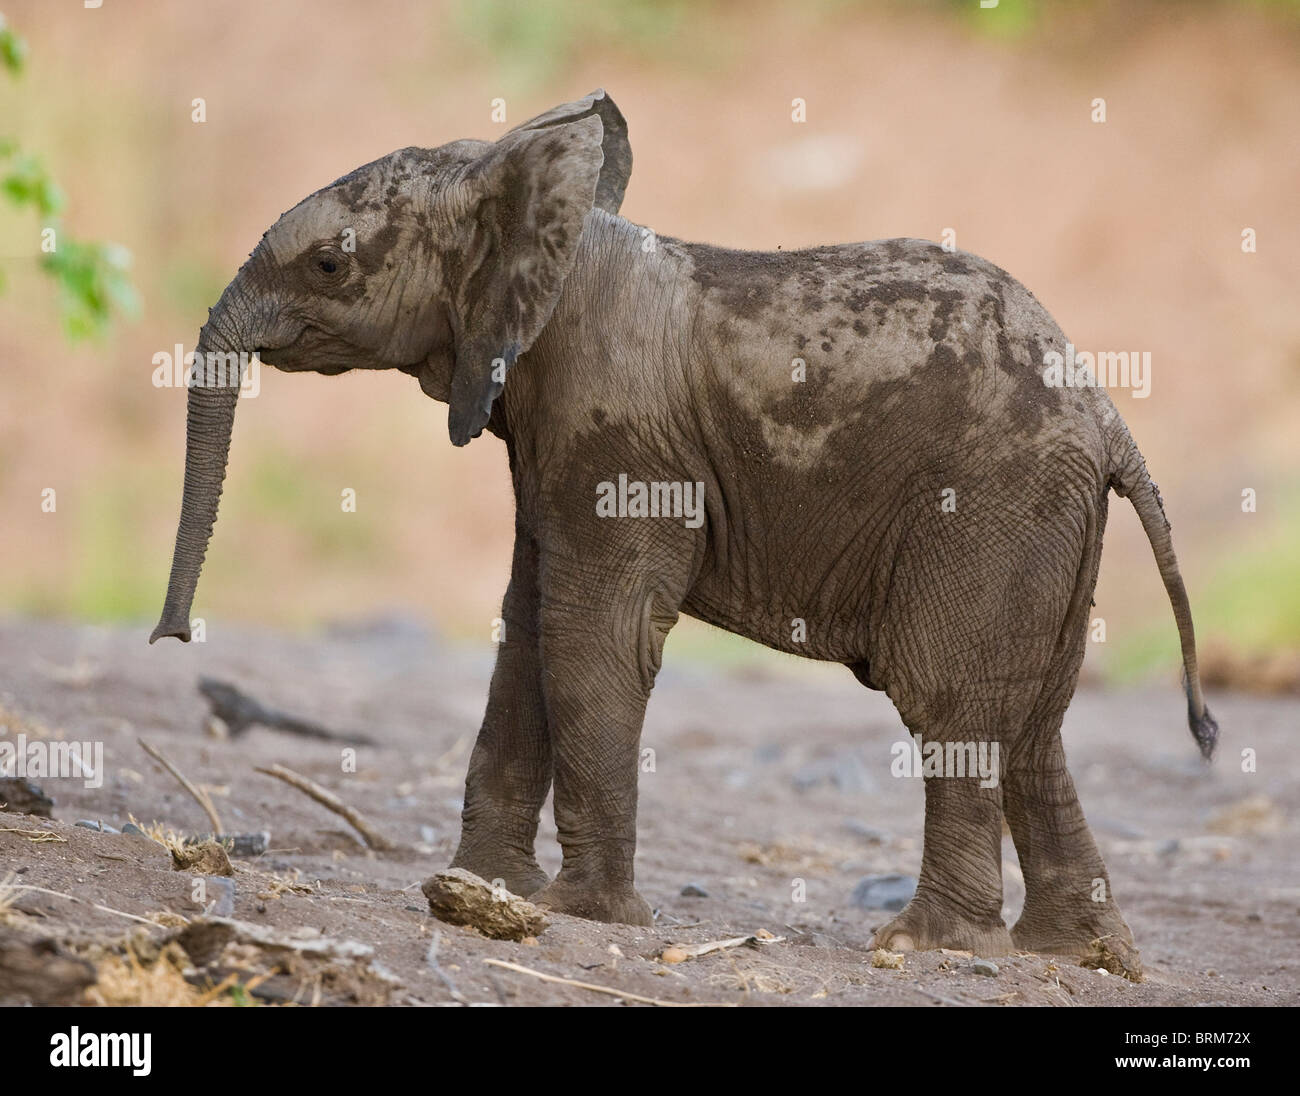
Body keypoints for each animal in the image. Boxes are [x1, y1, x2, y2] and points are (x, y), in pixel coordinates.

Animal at [151, 90, 1217, 972]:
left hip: (989, 506)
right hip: (1047, 520)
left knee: (950, 701)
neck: (546, 214)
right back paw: (1076, 955)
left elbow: (595, 632)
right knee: (1034, 726)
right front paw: (488, 891)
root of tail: (1107, 414)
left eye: (330, 264)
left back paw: (926, 947)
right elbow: (529, 624)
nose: (173, 636)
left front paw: (583, 915)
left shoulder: (615, 432)